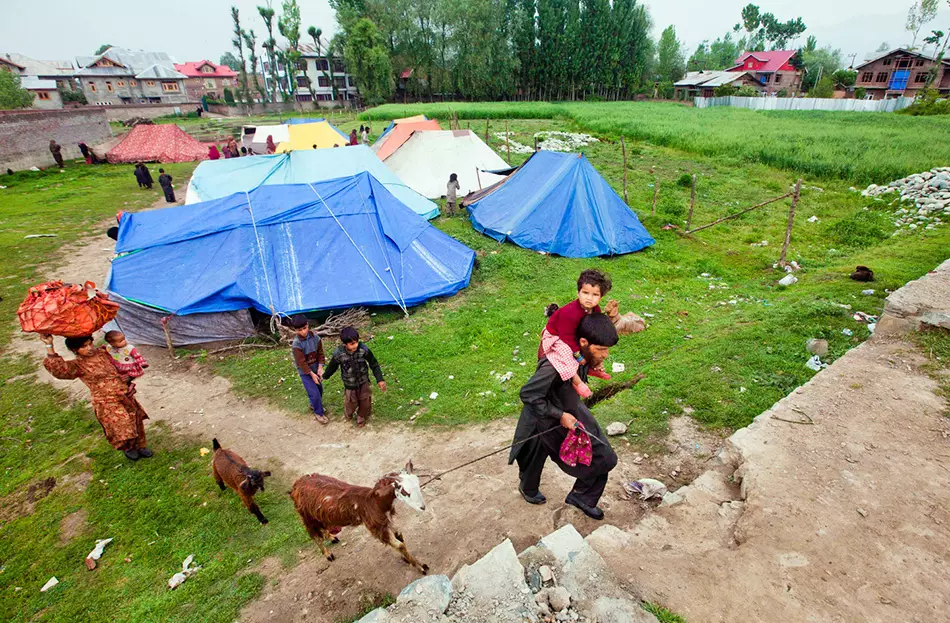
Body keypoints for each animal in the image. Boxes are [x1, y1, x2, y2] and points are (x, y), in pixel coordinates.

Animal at [290, 464, 432, 576]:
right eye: (405, 492)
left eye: (418, 484)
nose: (422, 507)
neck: (373, 502)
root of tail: (296, 484)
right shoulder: (375, 525)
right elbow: (400, 545)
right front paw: (420, 567)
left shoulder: (385, 519)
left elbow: (399, 536)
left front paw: (407, 559)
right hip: (306, 515)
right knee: (313, 534)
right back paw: (328, 554)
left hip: (318, 514)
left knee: (322, 527)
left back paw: (331, 537)